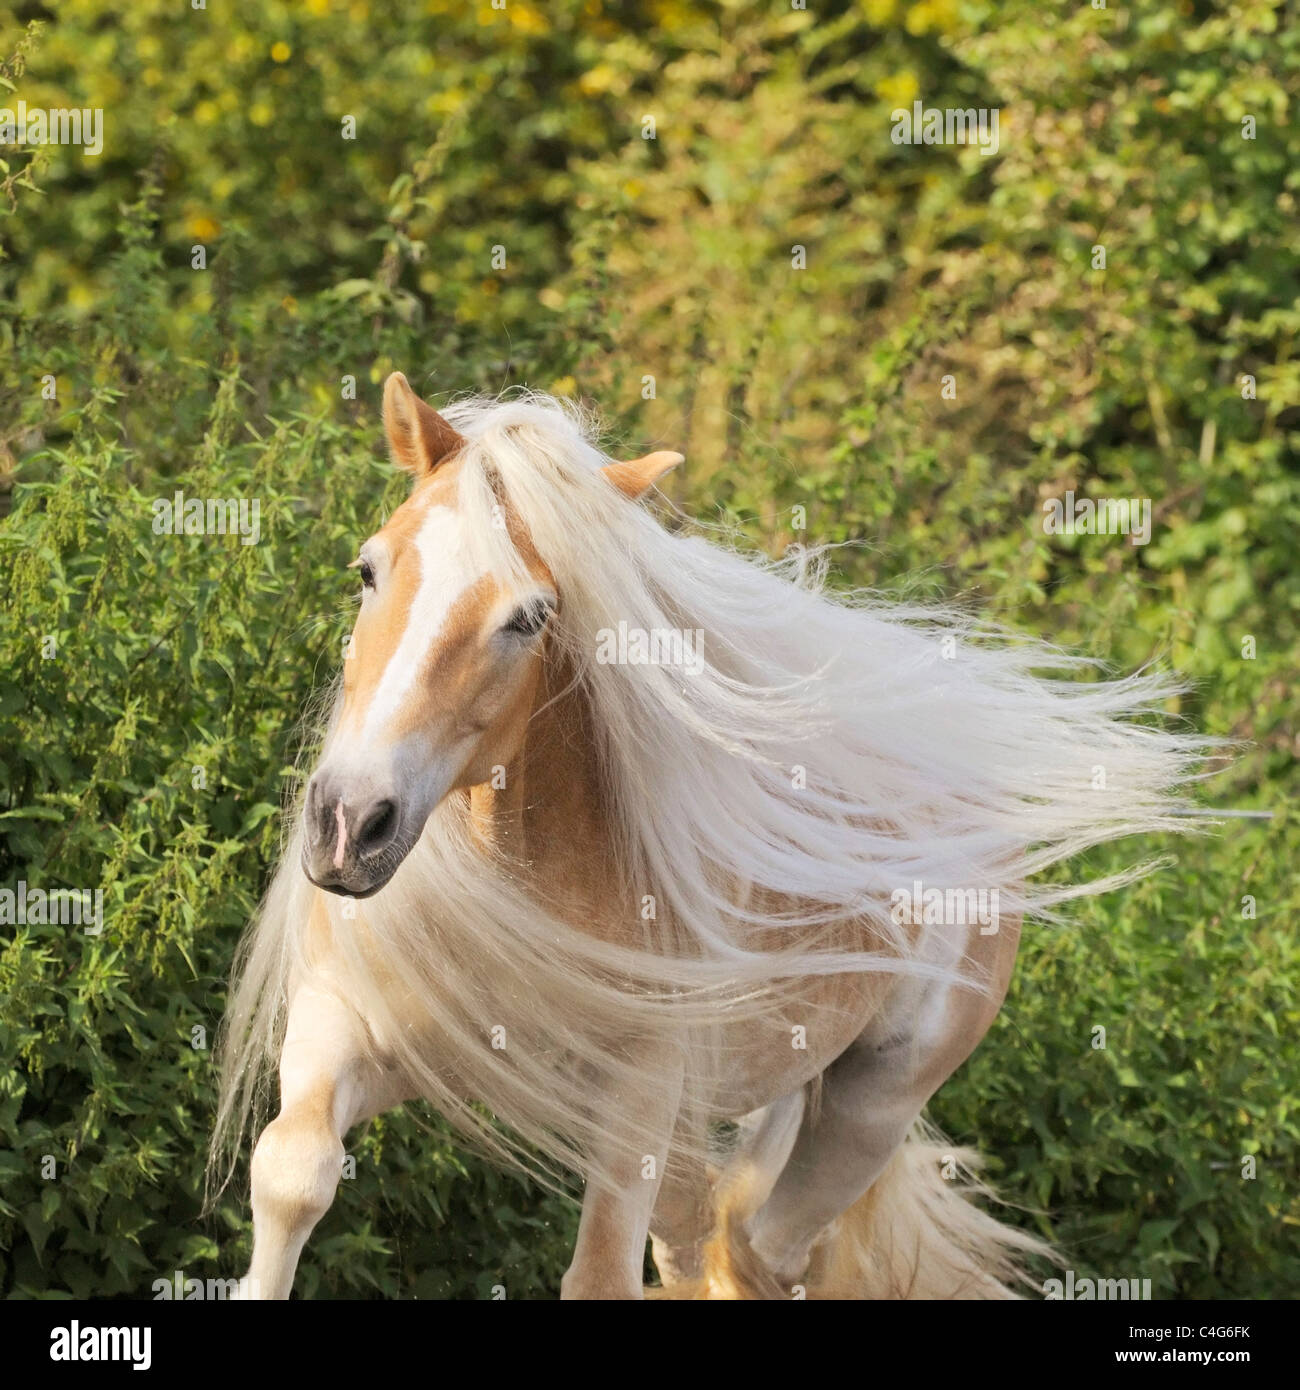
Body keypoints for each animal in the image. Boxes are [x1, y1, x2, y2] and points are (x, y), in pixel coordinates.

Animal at [209, 372, 1207, 1299]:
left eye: (530, 616)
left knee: (764, 1253)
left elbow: (600, 1277)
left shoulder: (639, 1104)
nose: (350, 824)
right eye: (368, 570)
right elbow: (292, 1176)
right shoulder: (344, 1027)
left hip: (868, 1107)